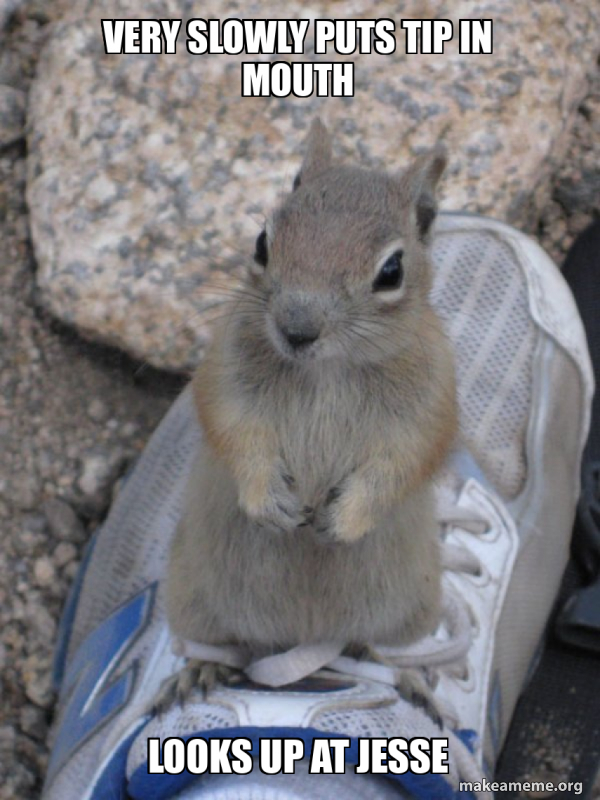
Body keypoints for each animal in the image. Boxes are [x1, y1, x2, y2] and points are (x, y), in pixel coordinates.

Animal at [162, 118, 457, 704]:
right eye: (262, 241)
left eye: (392, 271)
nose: (296, 328)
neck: (327, 369)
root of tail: (306, 634)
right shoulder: (227, 377)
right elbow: (236, 433)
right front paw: (268, 500)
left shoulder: (429, 406)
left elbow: (401, 464)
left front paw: (345, 519)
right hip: (190, 597)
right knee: (228, 645)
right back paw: (200, 671)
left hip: (413, 610)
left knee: (366, 645)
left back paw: (404, 677)